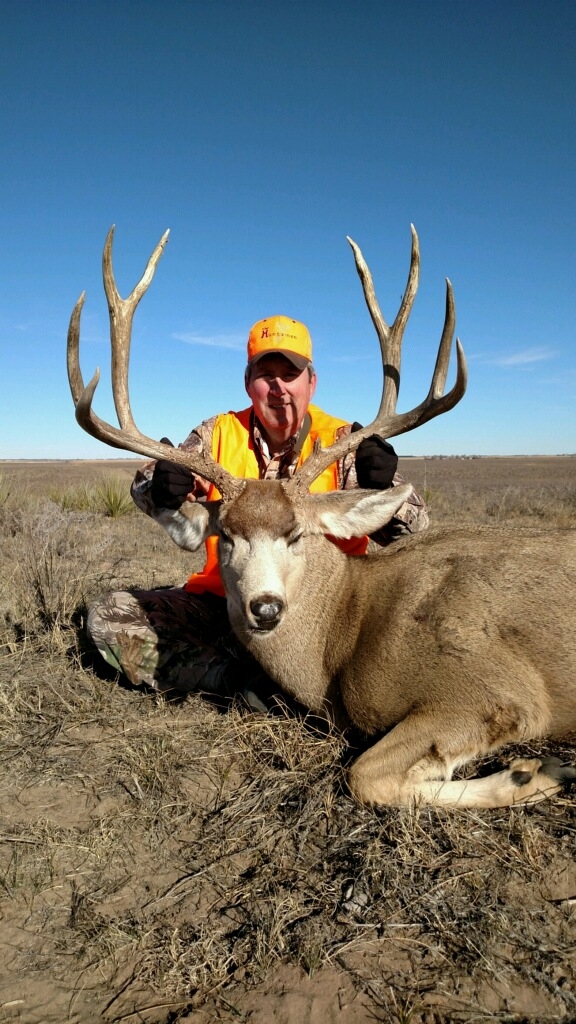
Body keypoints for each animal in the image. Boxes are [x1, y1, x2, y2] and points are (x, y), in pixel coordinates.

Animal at [67, 226, 576, 809]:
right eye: (227, 537)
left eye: (295, 534)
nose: (265, 608)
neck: (346, 634)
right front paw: (537, 772)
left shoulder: (496, 689)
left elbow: (363, 774)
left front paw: (538, 772)